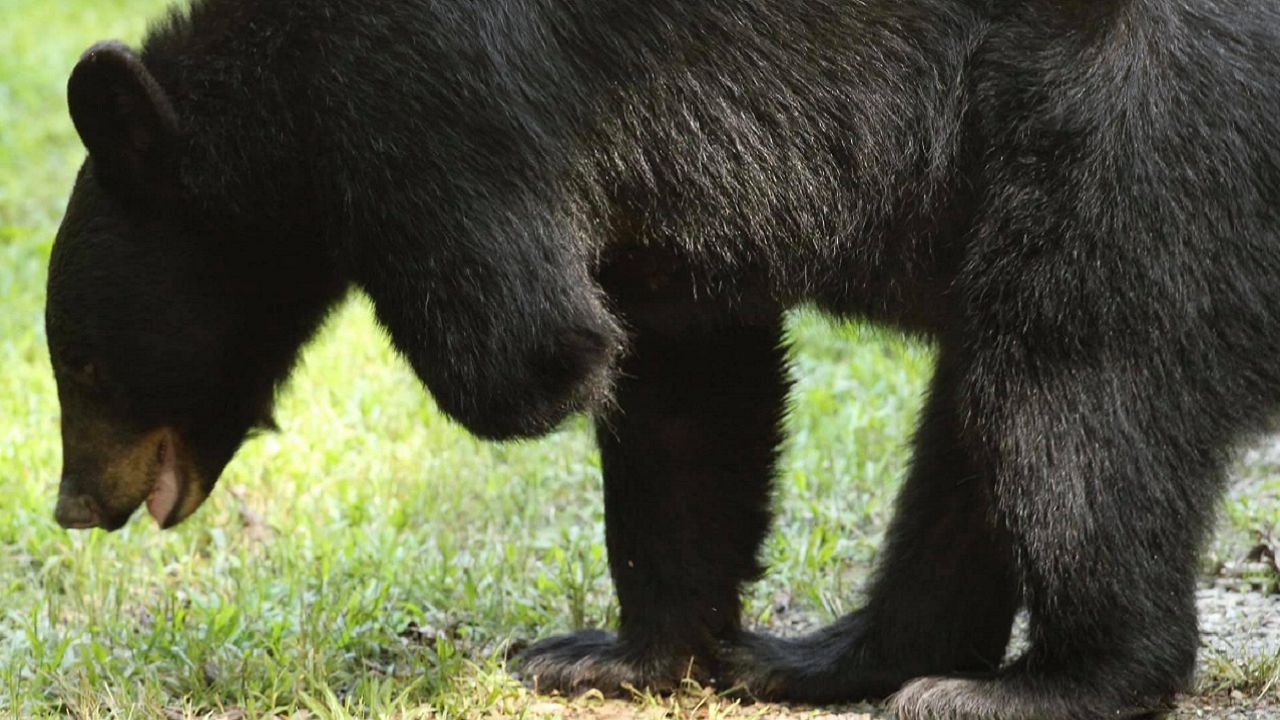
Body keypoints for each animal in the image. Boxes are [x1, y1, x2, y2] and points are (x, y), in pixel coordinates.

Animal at [44, 0, 1280, 718]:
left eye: (85, 368)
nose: (72, 505)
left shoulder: (444, 119)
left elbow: (528, 355)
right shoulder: (656, 209)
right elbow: (687, 384)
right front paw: (603, 656)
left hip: (1137, 127)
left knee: (1069, 387)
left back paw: (1036, 686)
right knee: (980, 429)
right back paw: (827, 659)